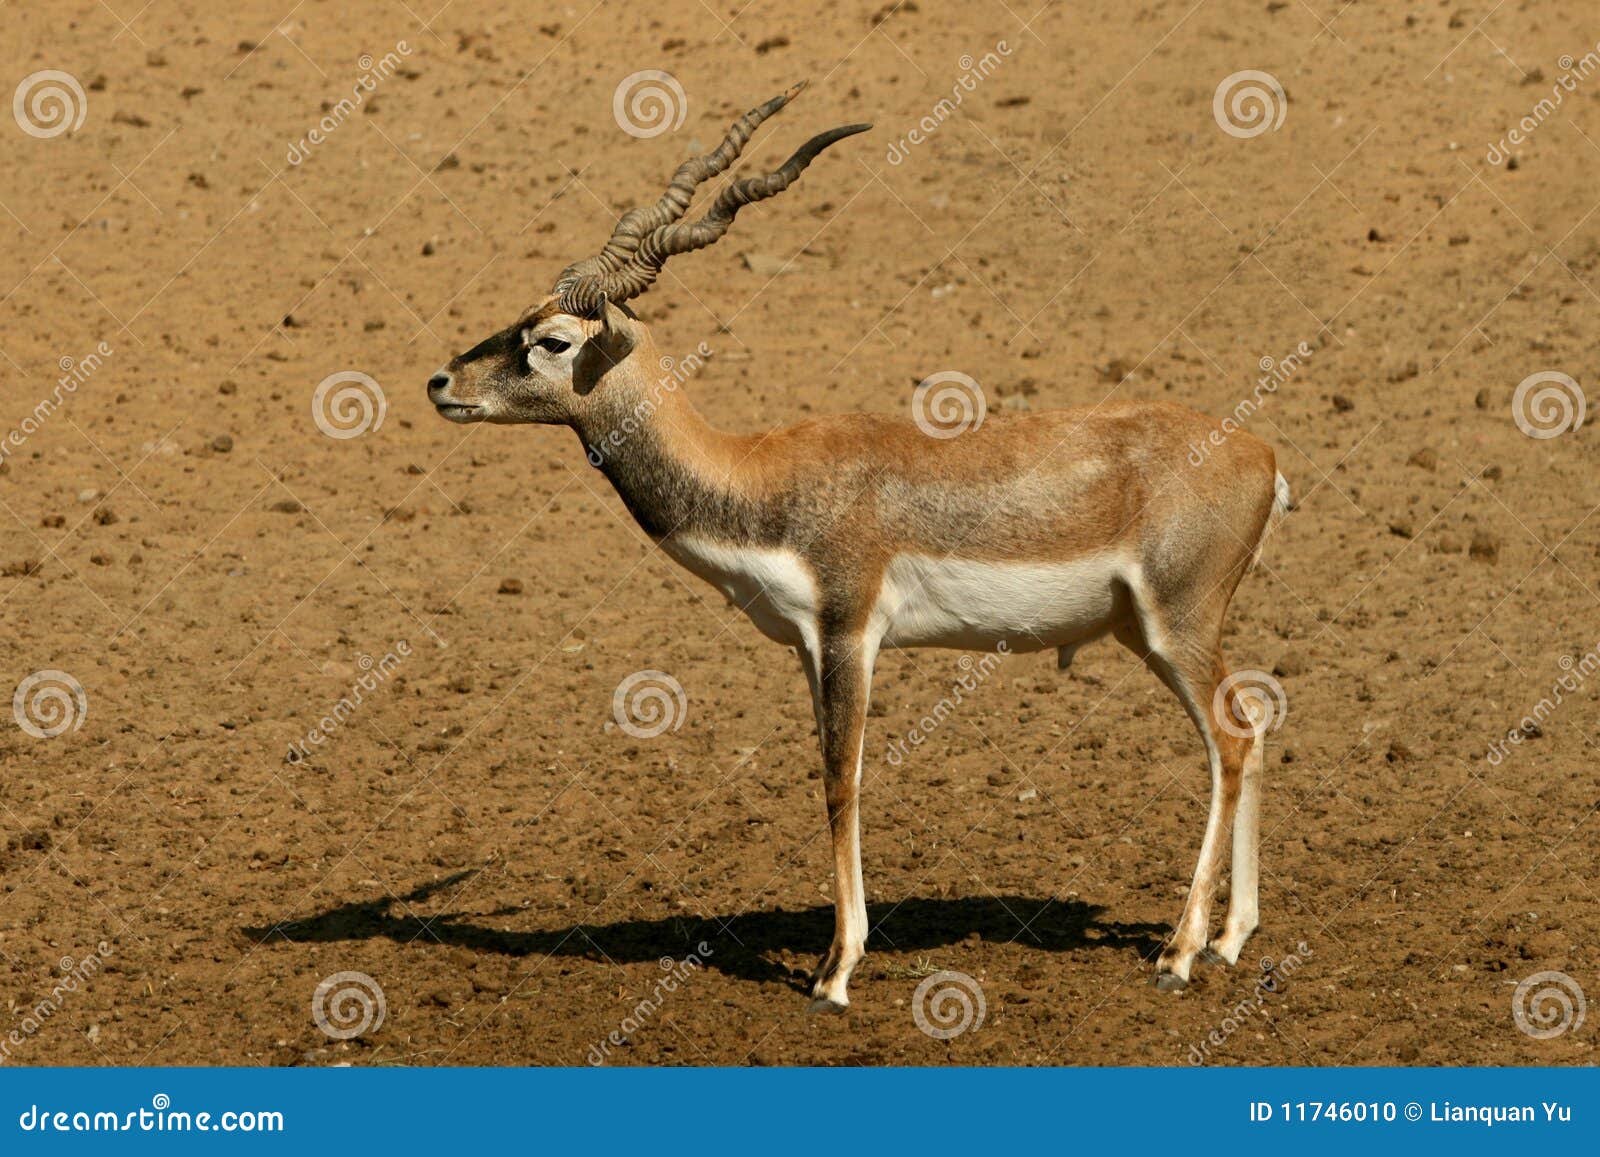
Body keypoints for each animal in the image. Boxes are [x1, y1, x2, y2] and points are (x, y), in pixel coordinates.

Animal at [427, 83, 1290, 1011]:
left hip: (1176, 624)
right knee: (1251, 724)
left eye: (551, 340)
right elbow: (827, 773)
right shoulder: (808, 645)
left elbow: (842, 779)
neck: (760, 476)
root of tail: (1262, 455)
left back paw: (1180, 952)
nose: (441, 382)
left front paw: (836, 970)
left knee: (1230, 740)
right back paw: (1231, 939)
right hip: (1148, 631)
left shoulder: (850, 630)